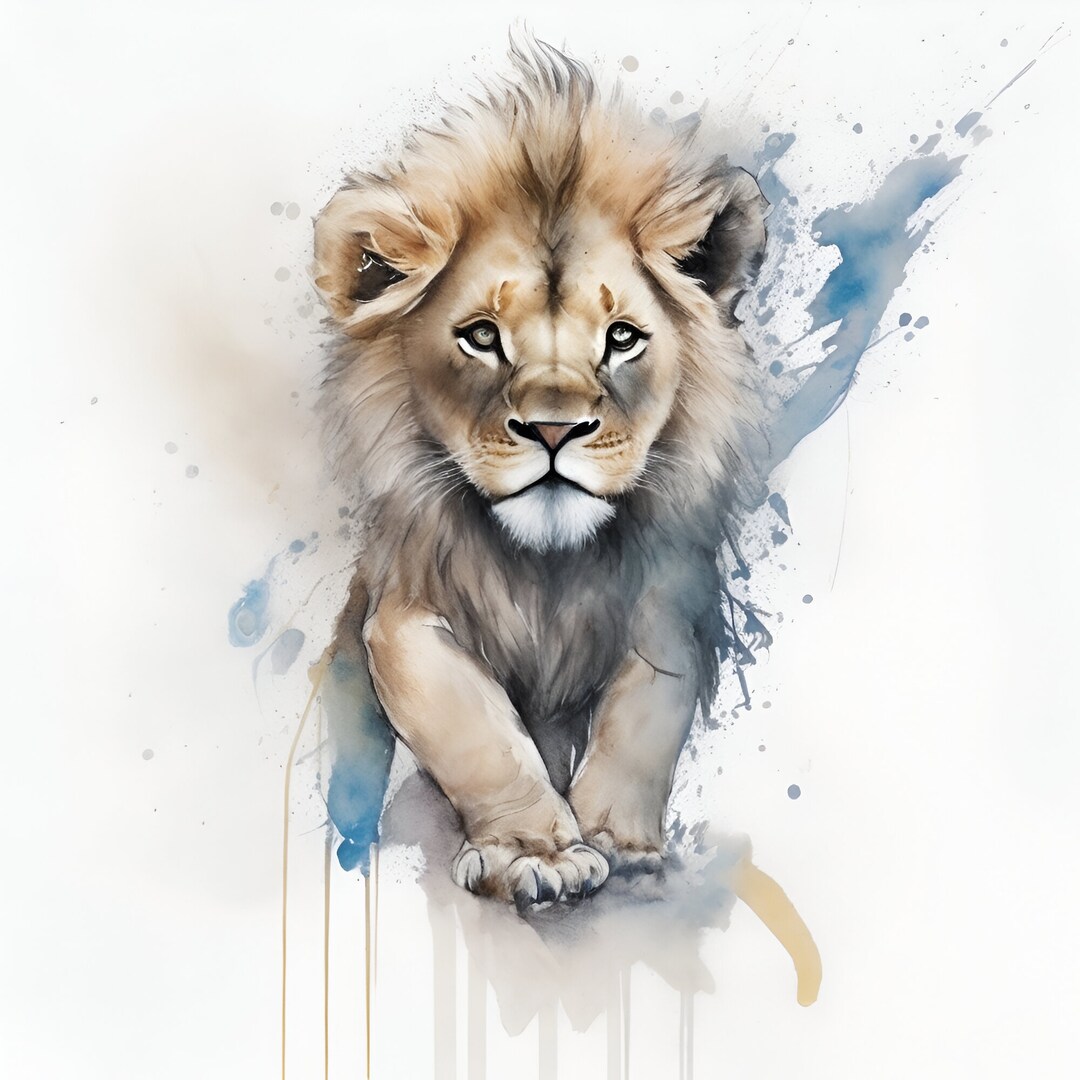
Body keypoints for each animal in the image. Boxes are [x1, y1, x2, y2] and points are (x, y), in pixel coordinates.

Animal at [312, 39, 767, 909]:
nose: (554, 430)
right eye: (482, 336)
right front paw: (537, 852)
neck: (547, 565)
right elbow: (478, 729)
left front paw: (620, 843)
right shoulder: (403, 613)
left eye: (622, 337)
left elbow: (644, 717)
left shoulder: (668, 605)